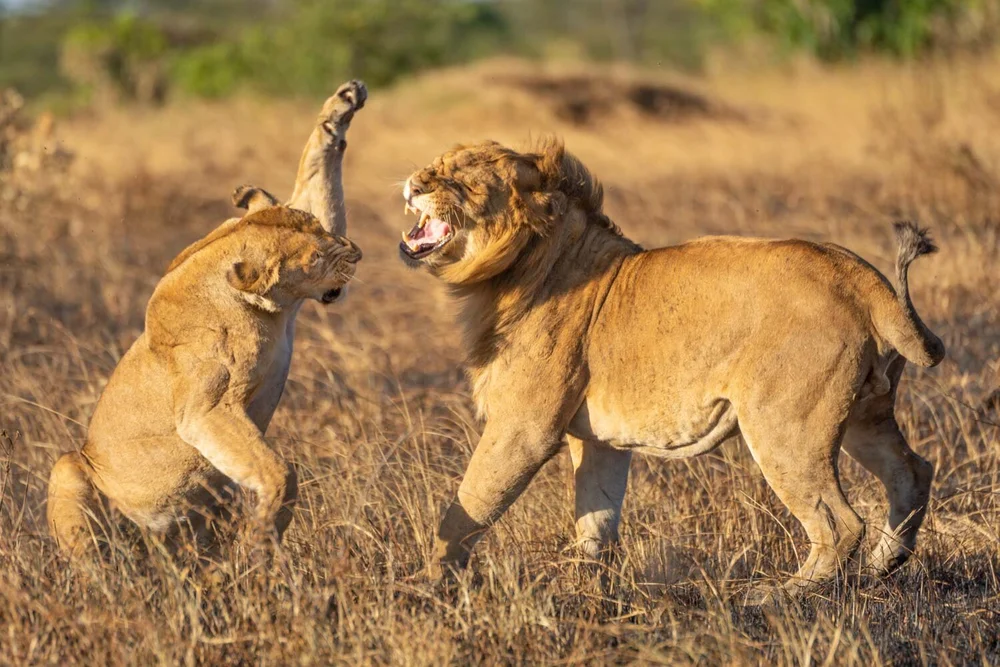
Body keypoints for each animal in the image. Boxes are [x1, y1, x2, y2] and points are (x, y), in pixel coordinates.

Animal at [46, 80, 367, 556]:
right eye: (315, 258)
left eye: (319, 228)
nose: (357, 253)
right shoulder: (205, 410)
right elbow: (279, 471)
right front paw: (259, 542)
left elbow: (315, 175)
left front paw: (340, 106)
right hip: (69, 465)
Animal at [398, 138, 945, 601]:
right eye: (434, 165)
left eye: (461, 178)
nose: (414, 183)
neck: (514, 270)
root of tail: (861, 276)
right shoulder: (599, 441)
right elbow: (596, 520)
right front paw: (589, 591)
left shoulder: (523, 429)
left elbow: (467, 508)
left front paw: (427, 585)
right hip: (864, 413)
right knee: (912, 472)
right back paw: (881, 568)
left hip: (784, 426)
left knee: (840, 521)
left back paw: (784, 595)